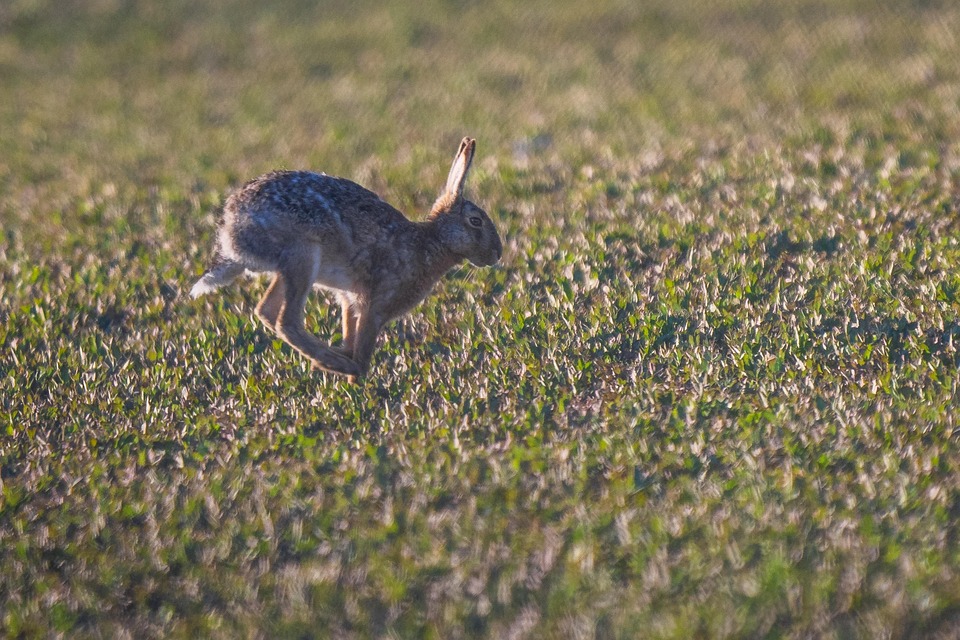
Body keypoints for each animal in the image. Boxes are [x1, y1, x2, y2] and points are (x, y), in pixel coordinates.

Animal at [190, 137, 502, 382]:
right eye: (476, 221)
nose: (497, 254)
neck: (432, 241)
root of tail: (231, 229)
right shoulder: (377, 306)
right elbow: (363, 353)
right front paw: (354, 376)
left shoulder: (350, 300)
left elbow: (351, 334)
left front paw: (346, 371)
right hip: (303, 254)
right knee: (286, 321)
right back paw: (332, 362)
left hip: (290, 266)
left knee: (266, 310)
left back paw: (328, 359)